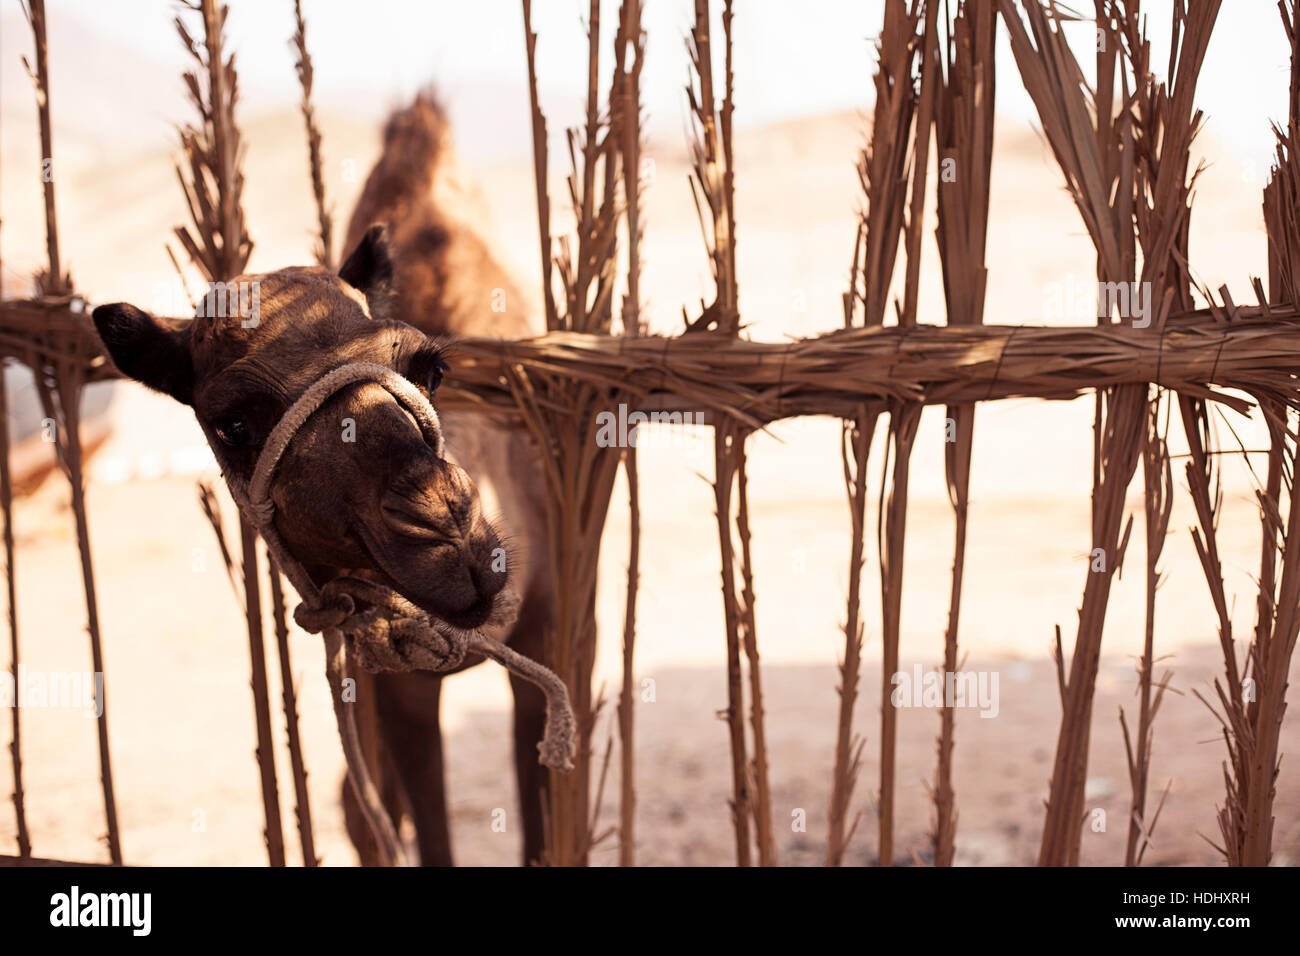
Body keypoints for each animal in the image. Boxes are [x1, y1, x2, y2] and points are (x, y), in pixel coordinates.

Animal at [91, 94, 552, 866]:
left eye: (429, 366)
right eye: (233, 424)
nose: (453, 540)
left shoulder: (560, 618)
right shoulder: (397, 677)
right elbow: (420, 824)